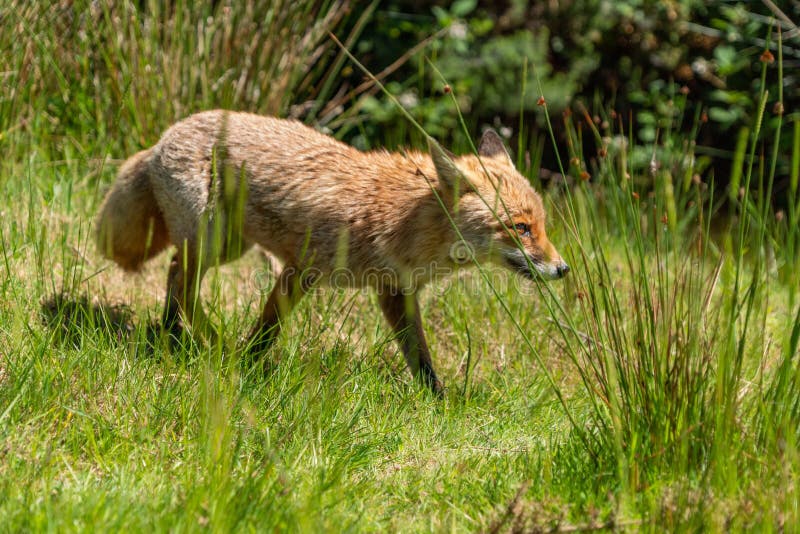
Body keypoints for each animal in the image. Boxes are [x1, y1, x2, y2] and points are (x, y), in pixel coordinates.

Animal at [96, 110, 569, 394]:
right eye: (520, 228)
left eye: (542, 227)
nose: (563, 268)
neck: (401, 221)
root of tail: (165, 135)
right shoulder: (301, 268)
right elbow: (267, 329)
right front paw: (248, 366)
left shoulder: (396, 292)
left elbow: (421, 357)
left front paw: (439, 402)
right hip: (211, 238)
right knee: (183, 279)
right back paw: (207, 343)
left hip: (228, 245)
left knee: (176, 274)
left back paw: (174, 335)